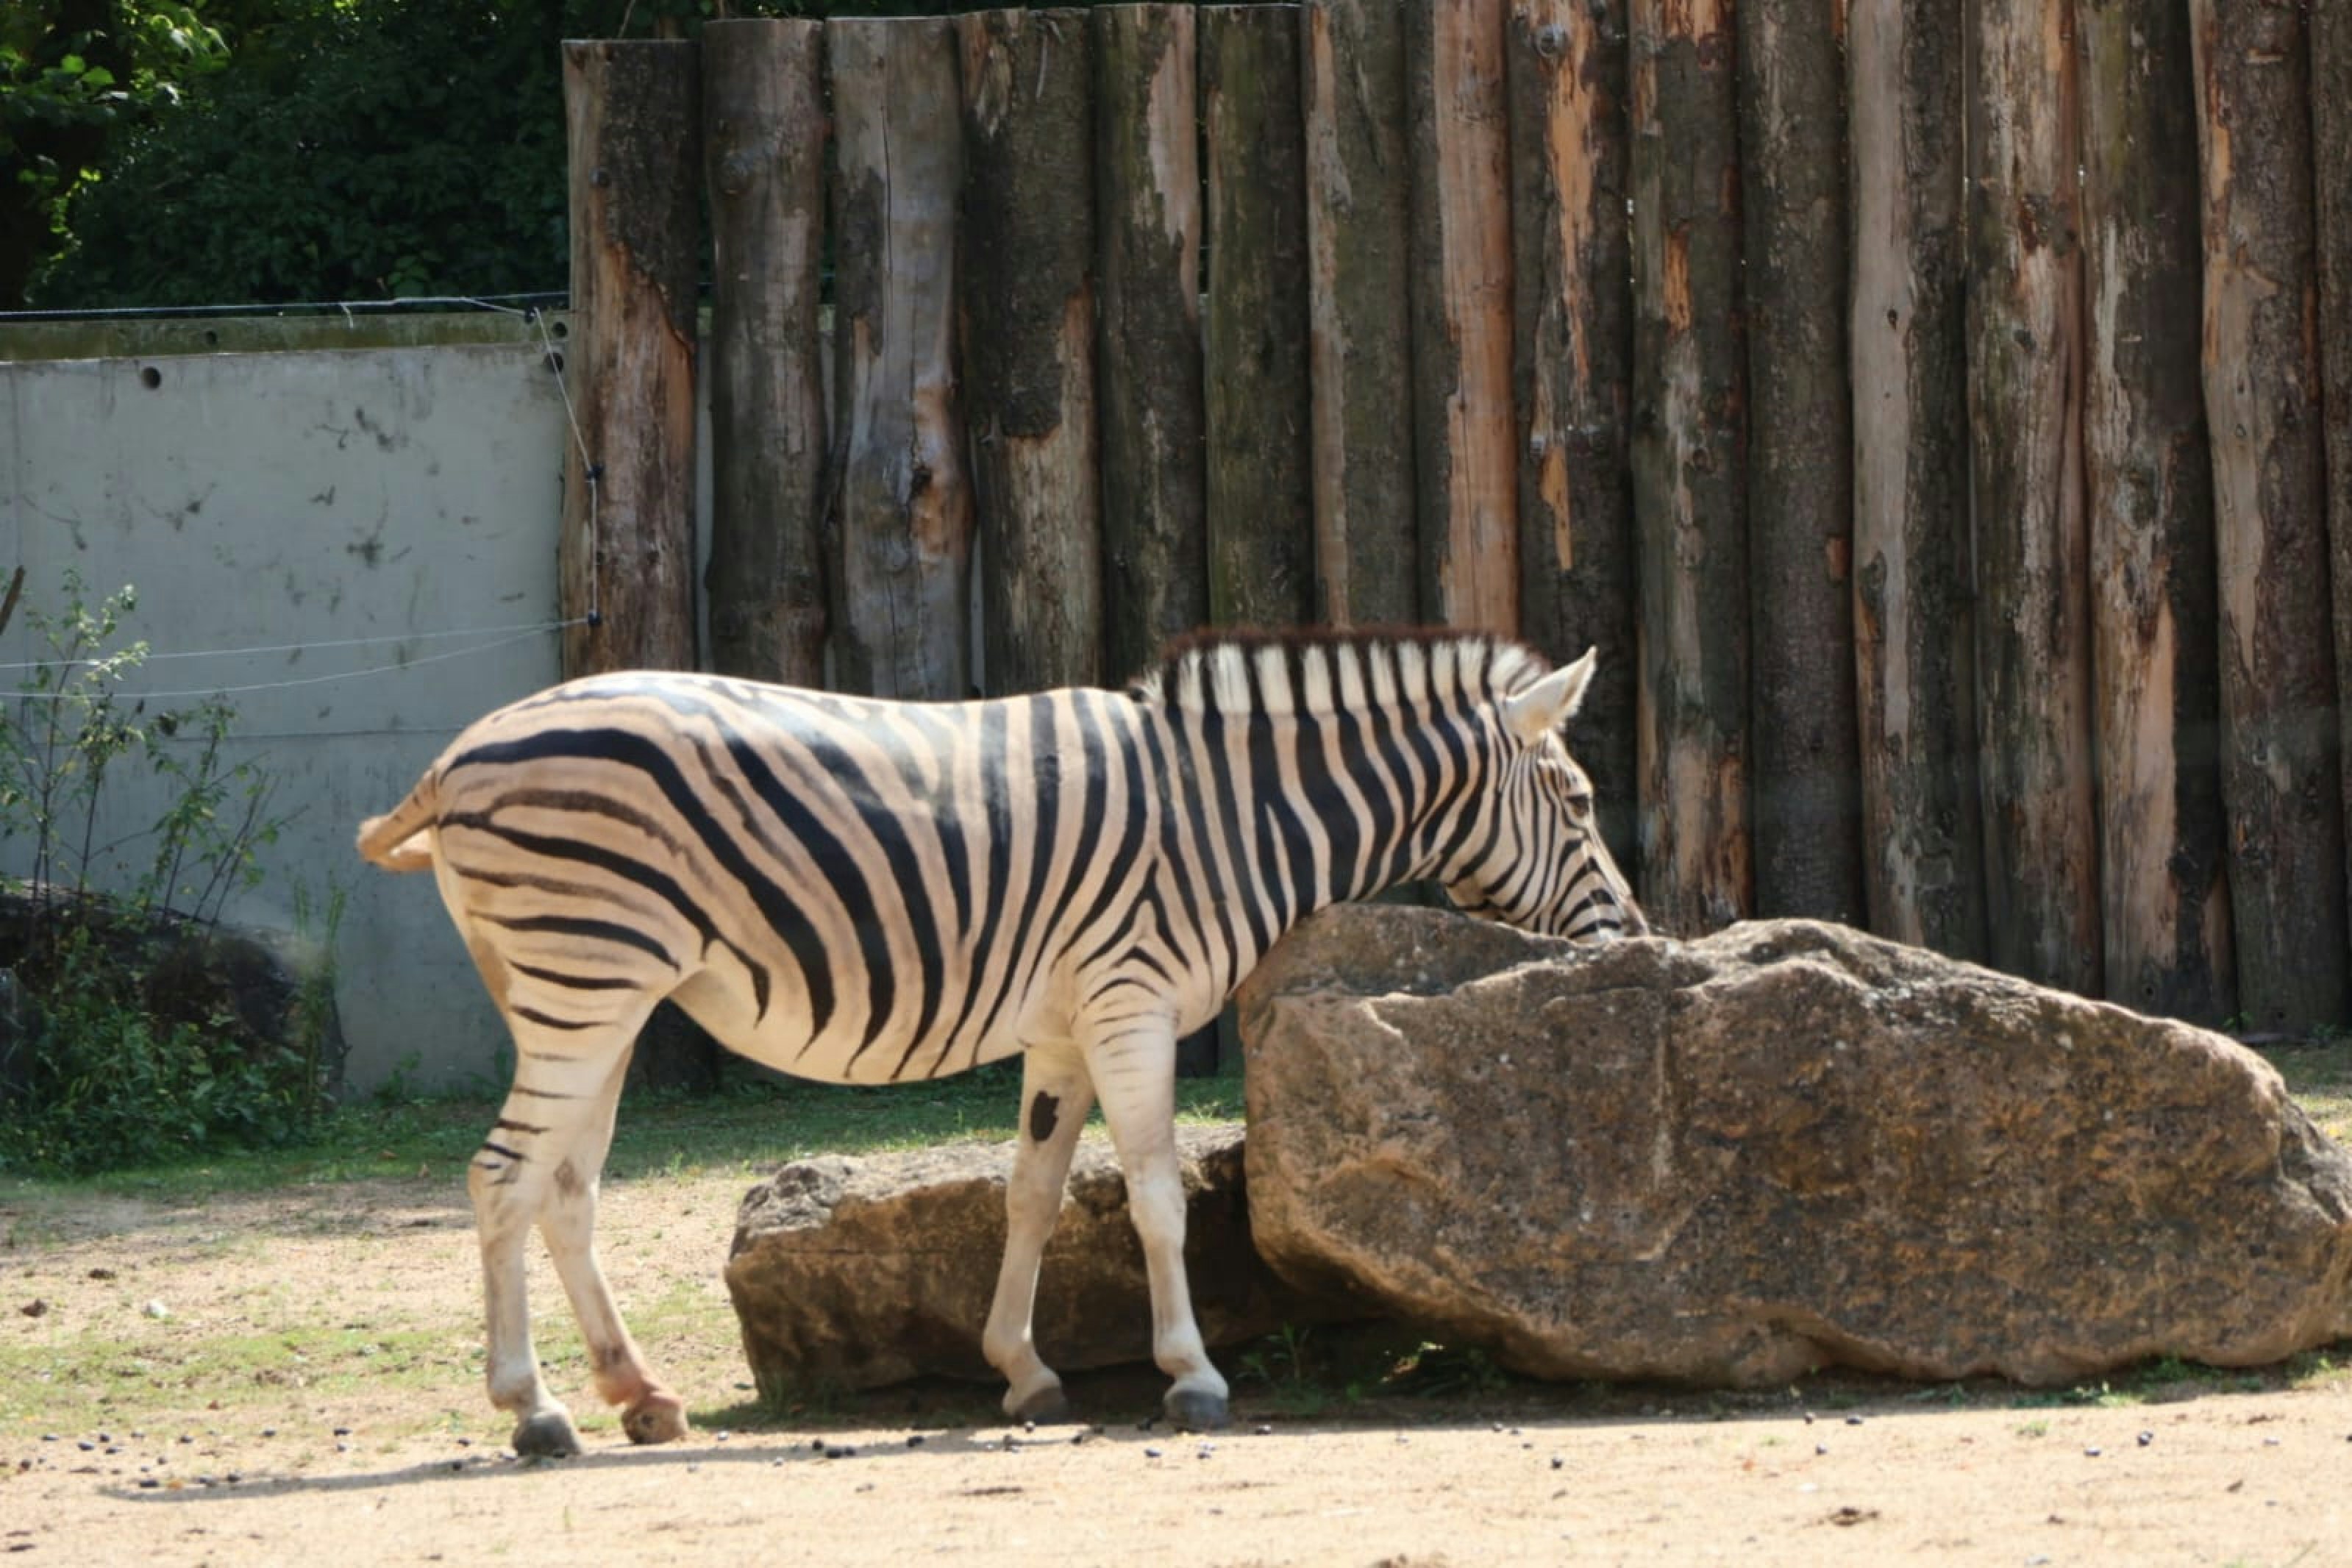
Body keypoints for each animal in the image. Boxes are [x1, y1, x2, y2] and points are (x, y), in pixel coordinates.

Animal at [356, 627, 1644, 1457]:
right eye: (1580, 804)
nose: (1636, 936)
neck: (1229, 819)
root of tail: (462, 750)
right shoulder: (1129, 999)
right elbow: (1155, 1198)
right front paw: (1192, 1378)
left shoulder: (1066, 1026)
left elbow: (1033, 1194)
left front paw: (1023, 1372)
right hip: (586, 976)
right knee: (503, 1177)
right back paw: (535, 1412)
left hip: (597, 993)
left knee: (565, 1190)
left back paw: (640, 1396)